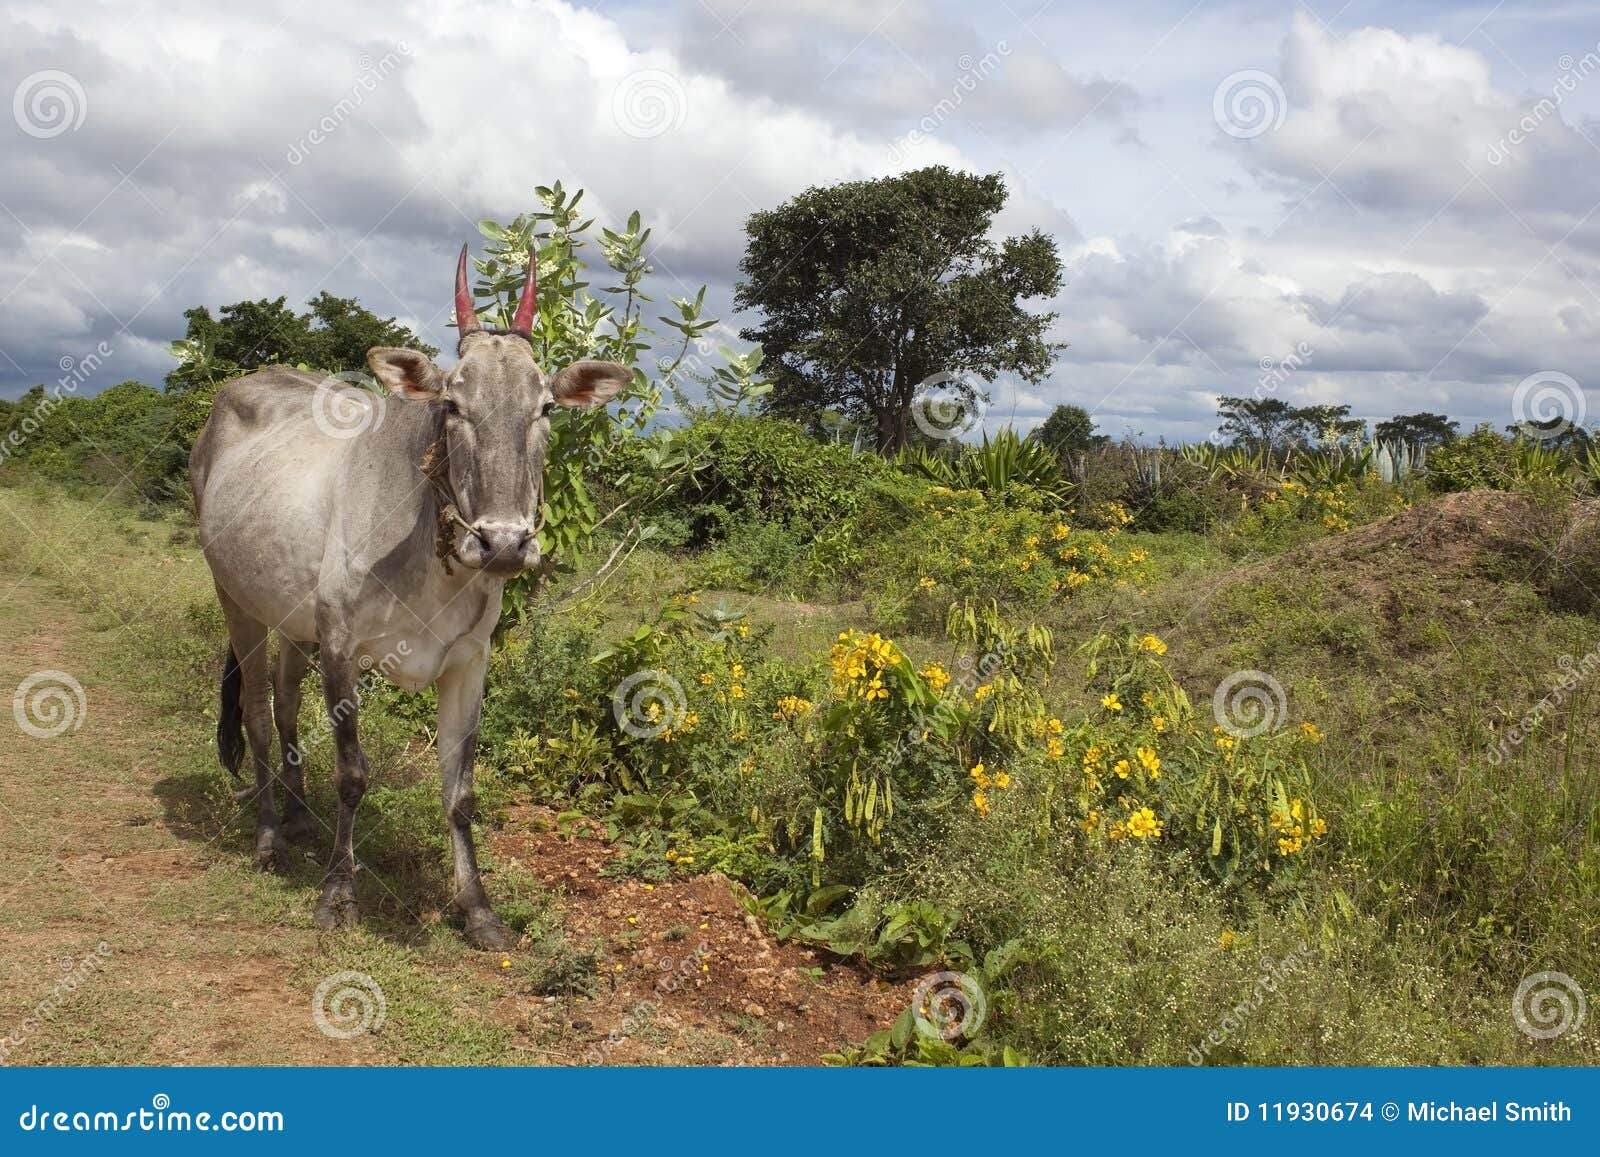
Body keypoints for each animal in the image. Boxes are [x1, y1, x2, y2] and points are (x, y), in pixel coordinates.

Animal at [189, 246, 630, 949]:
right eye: (452, 405)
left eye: (545, 409)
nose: (504, 543)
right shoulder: (341, 648)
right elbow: (352, 774)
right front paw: (338, 894)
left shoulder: (469, 663)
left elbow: (461, 791)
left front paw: (478, 909)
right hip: (236, 599)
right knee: (257, 713)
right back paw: (268, 838)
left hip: (292, 621)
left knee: (285, 707)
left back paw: (299, 818)